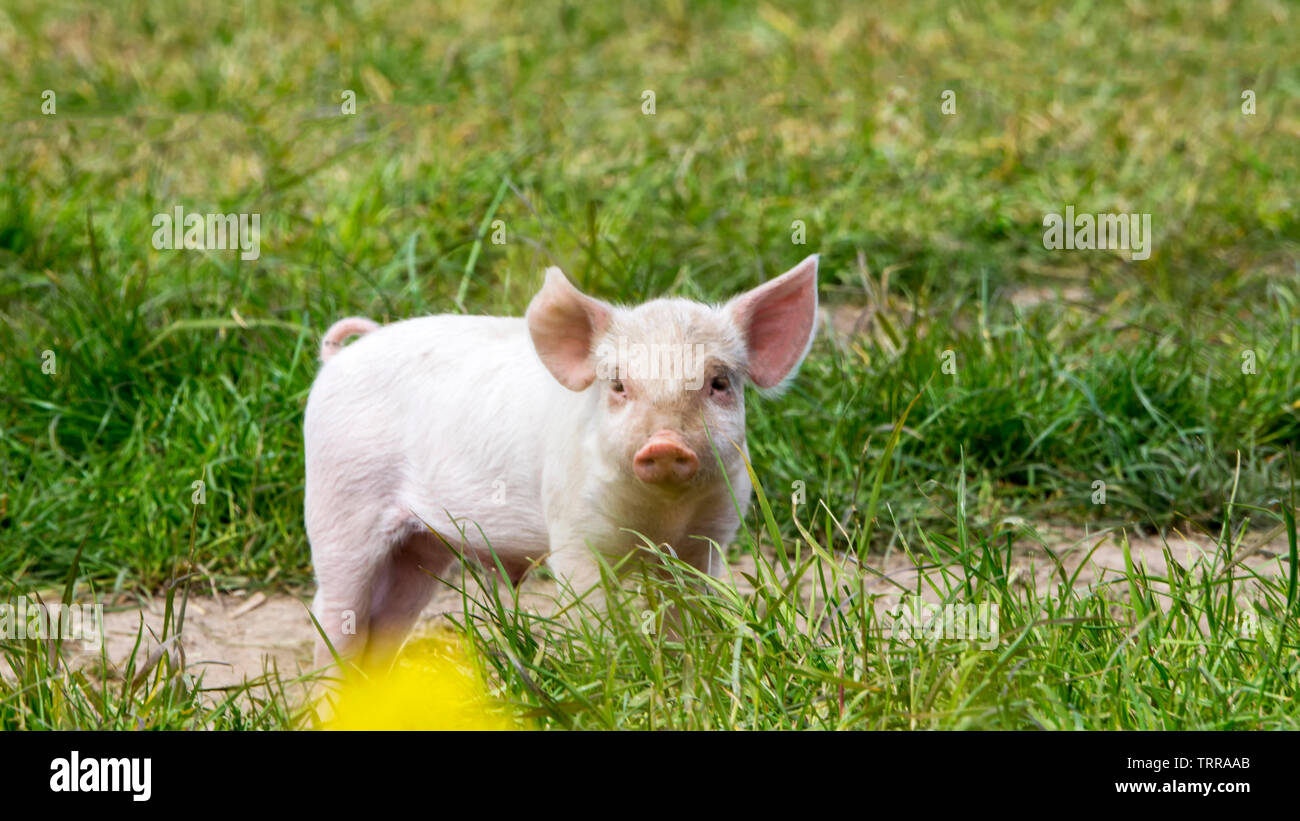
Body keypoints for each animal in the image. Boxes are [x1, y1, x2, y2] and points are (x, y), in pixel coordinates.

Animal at [305, 254, 819, 668]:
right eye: (618, 385)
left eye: (718, 383)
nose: (665, 444)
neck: (660, 514)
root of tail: (336, 360)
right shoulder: (574, 532)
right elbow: (593, 612)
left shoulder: (709, 537)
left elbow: (686, 615)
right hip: (339, 501)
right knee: (333, 612)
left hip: (420, 546)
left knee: (385, 621)